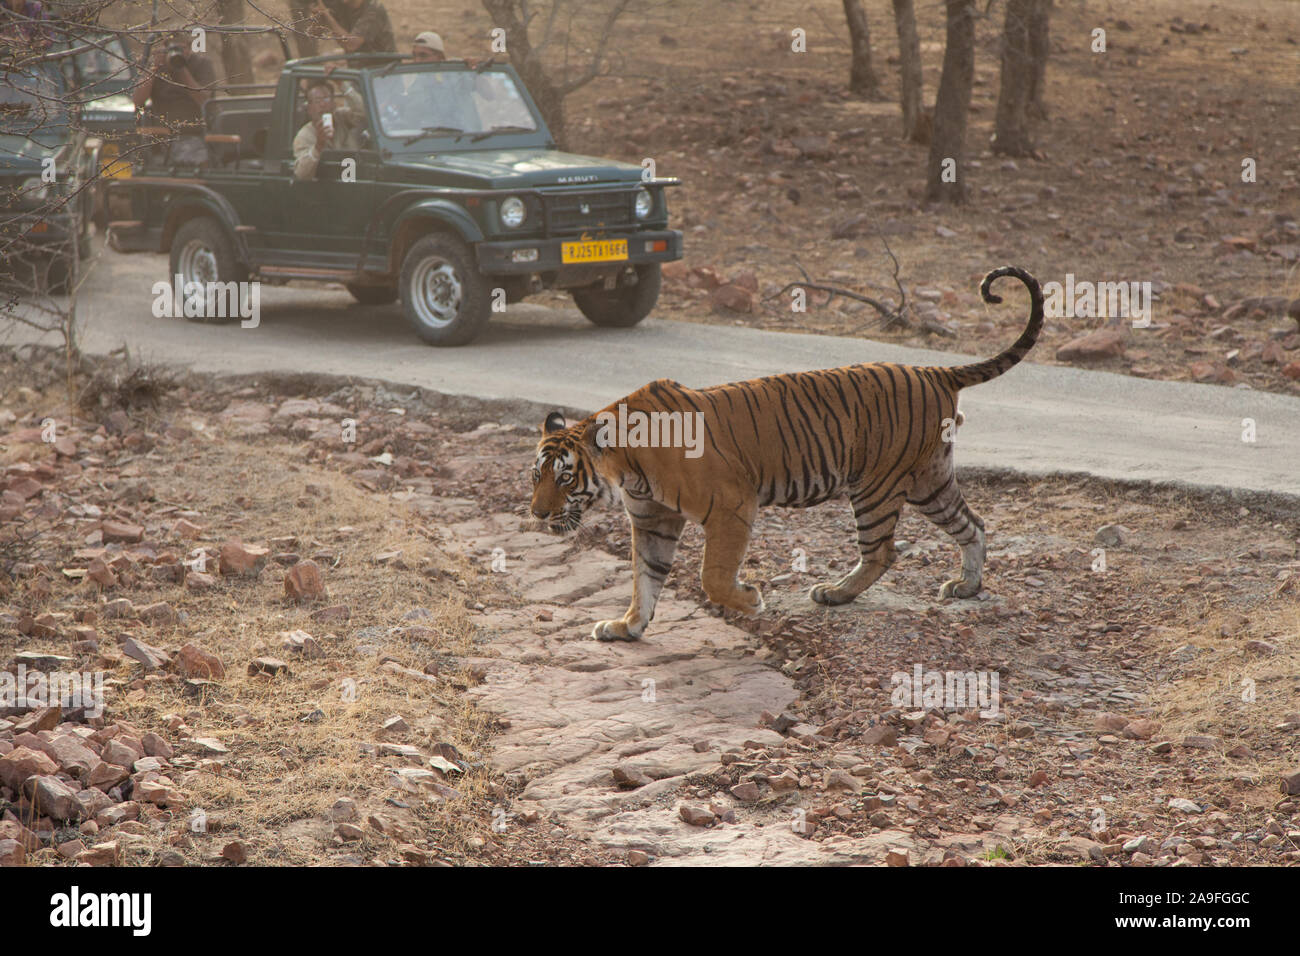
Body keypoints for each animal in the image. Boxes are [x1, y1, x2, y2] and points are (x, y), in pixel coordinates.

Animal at [528, 265, 1043, 642]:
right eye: (536, 476)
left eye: (566, 478)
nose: (536, 514)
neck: (627, 467)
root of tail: (935, 371)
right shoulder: (653, 520)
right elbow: (644, 579)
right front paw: (628, 627)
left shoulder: (731, 506)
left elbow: (712, 576)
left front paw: (751, 599)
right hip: (928, 481)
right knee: (973, 524)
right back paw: (967, 585)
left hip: (877, 485)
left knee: (881, 551)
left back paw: (835, 593)